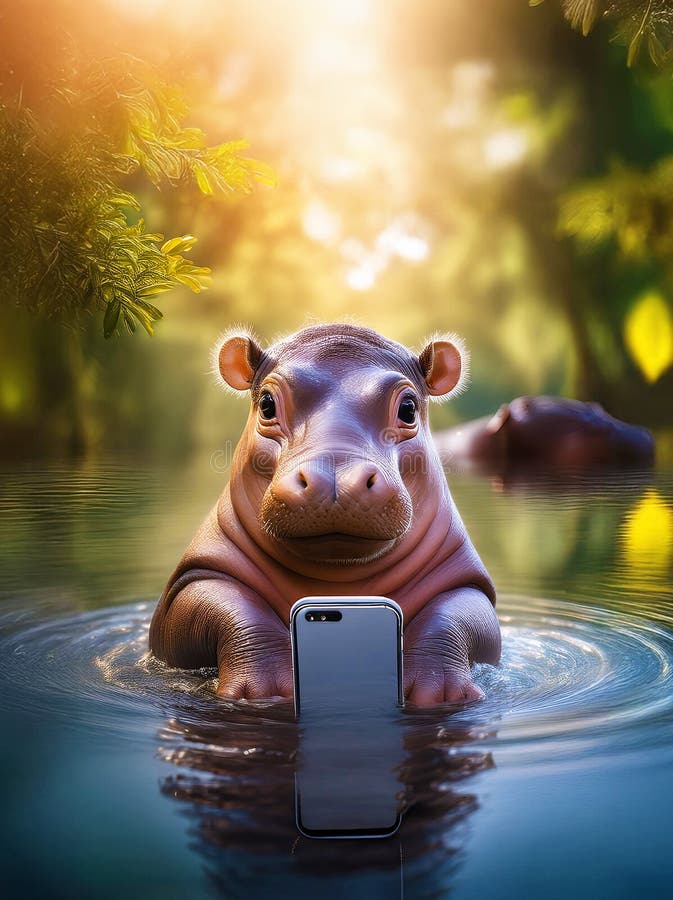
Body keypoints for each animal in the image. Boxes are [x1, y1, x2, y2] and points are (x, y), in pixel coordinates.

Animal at [149, 323, 501, 705]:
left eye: (408, 408)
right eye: (266, 404)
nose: (336, 479)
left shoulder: (467, 582)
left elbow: (453, 616)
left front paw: (441, 692)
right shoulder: (193, 579)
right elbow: (231, 607)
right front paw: (266, 689)